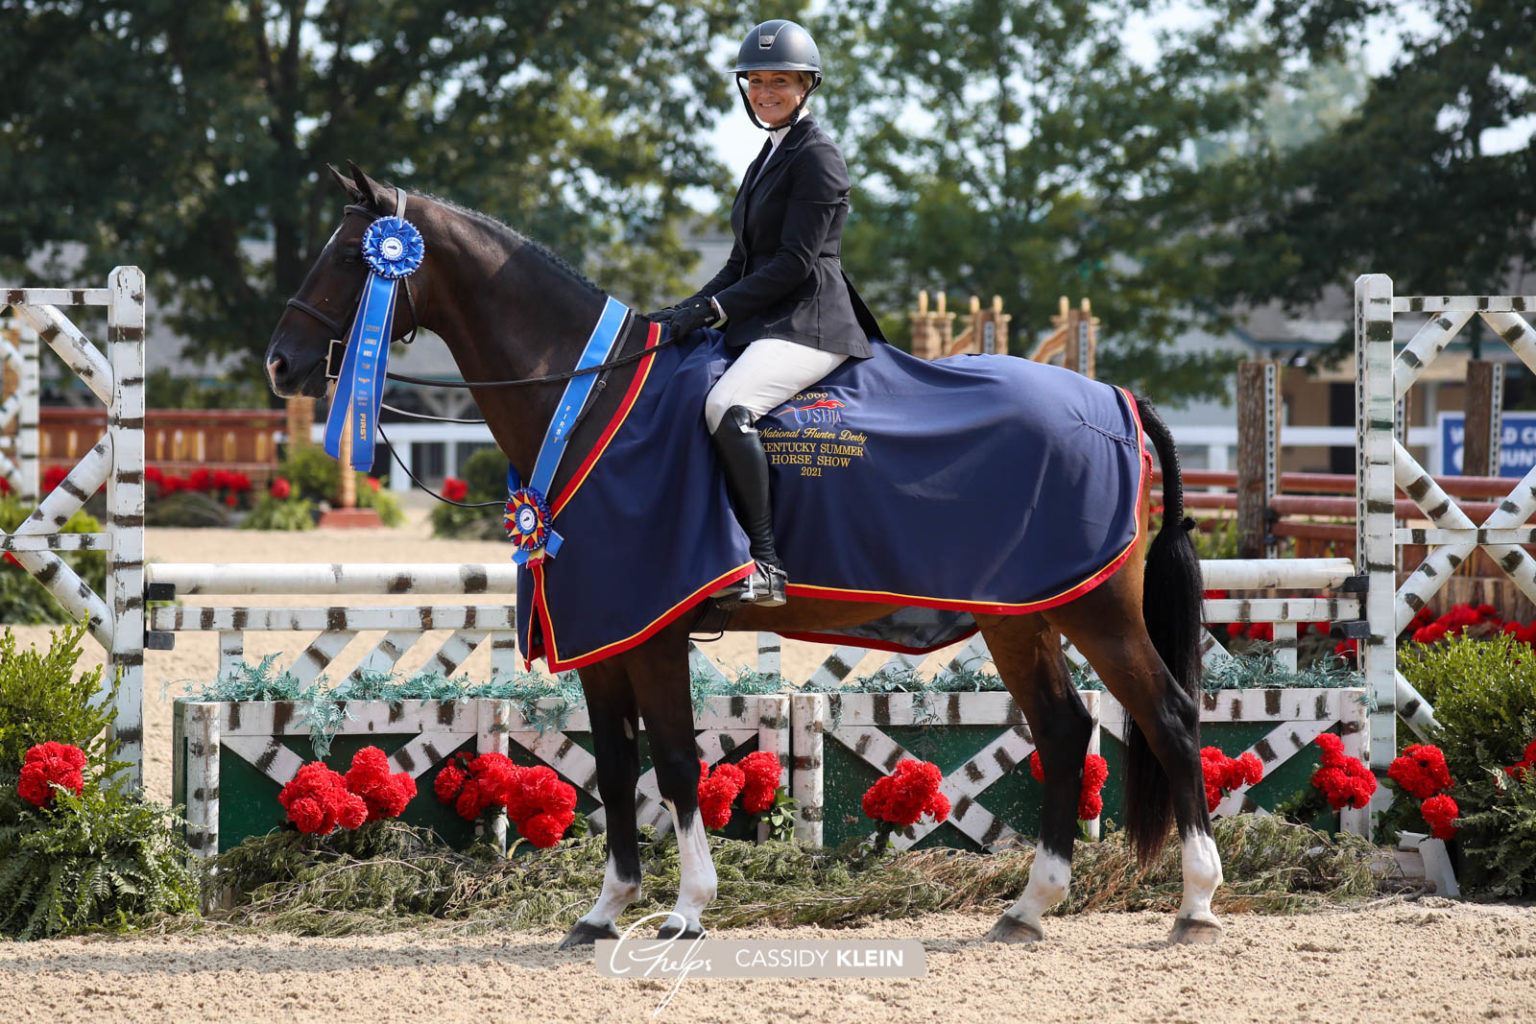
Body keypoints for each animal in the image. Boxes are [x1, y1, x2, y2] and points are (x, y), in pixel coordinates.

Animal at [265, 163, 1223, 947]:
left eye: (352, 256)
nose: (279, 364)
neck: (590, 399)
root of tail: (1114, 396)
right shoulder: (603, 629)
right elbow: (616, 764)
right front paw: (604, 911)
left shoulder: (650, 627)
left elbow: (676, 761)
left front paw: (687, 909)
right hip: (1023, 616)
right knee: (1063, 731)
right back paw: (1030, 908)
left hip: (1096, 609)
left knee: (1170, 718)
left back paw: (1196, 904)